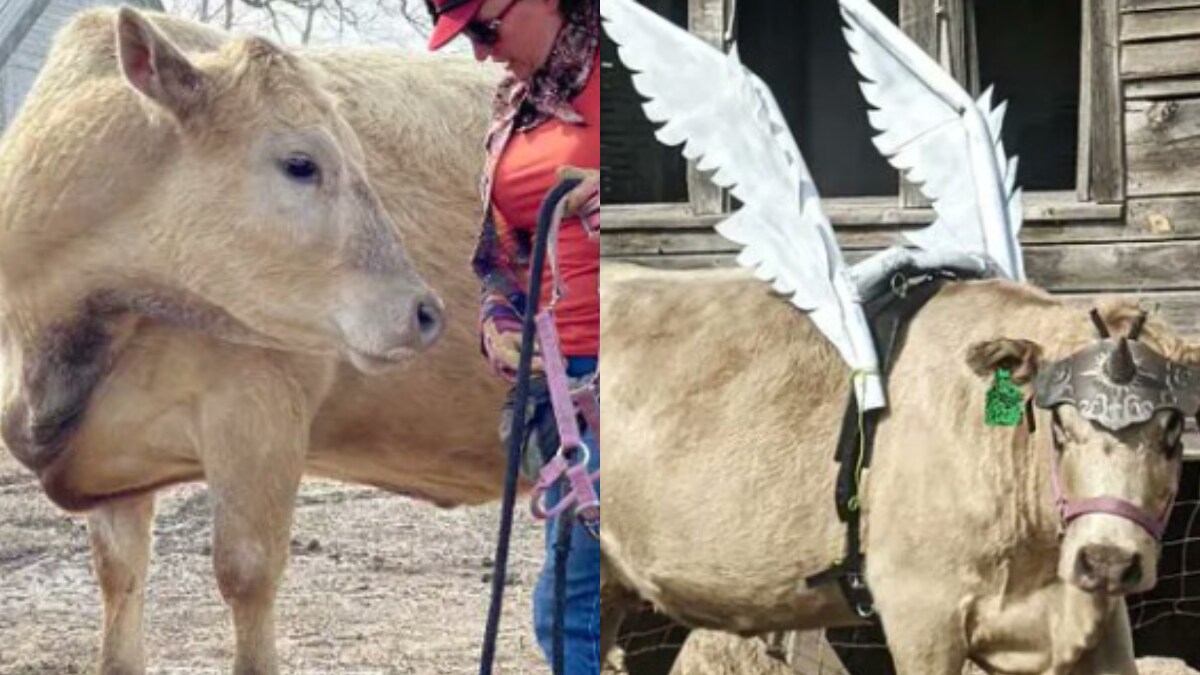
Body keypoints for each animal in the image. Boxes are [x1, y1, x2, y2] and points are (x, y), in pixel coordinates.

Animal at [0, 8, 511, 674]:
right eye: (301, 163)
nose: (424, 312)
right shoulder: (114, 461)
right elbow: (118, 580)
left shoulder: (257, 410)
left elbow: (246, 572)